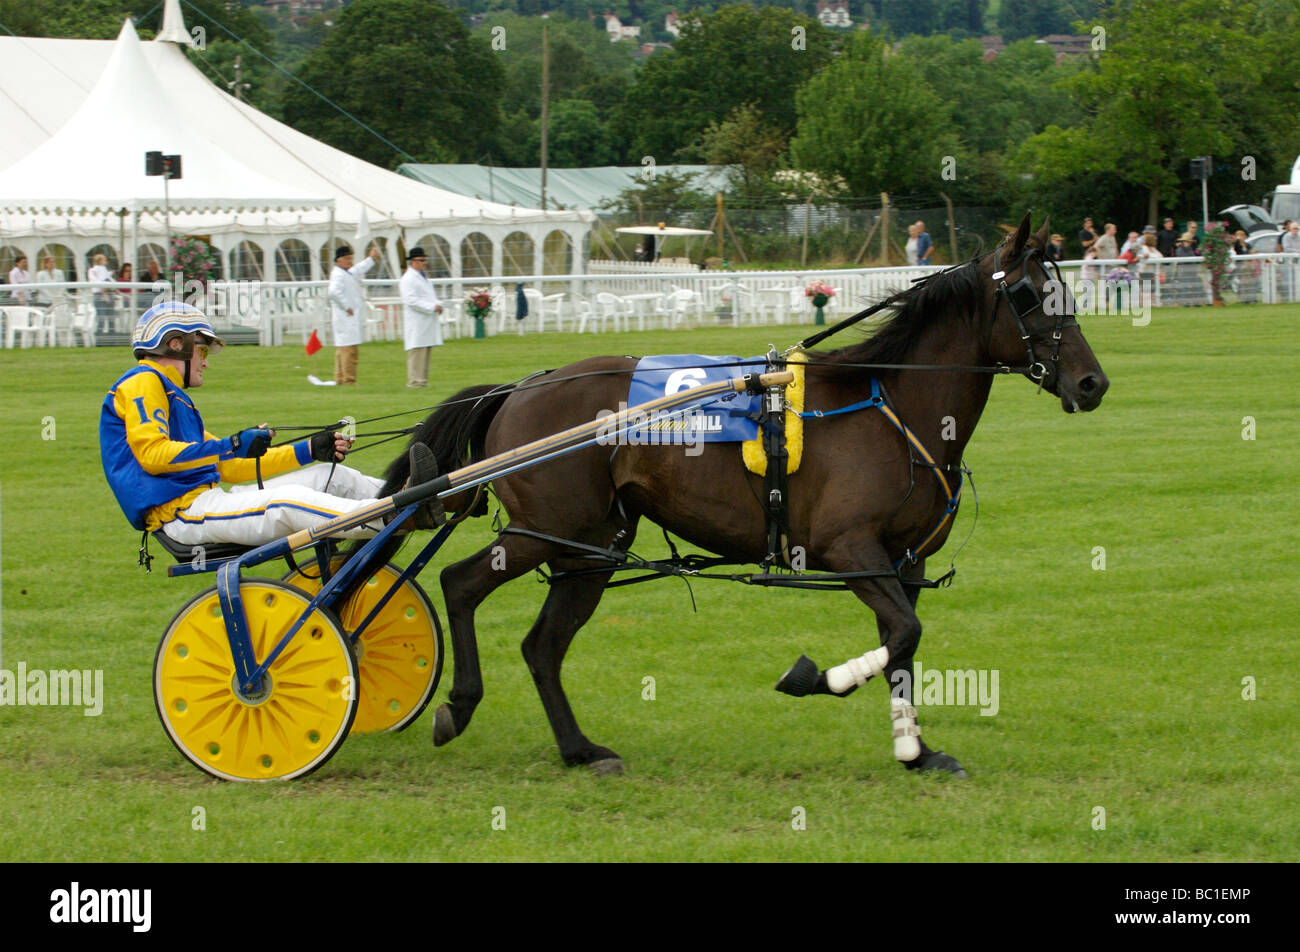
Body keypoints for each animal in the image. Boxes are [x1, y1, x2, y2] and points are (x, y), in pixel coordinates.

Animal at [377, 215, 1109, 777]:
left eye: (1066, 288)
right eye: (1027, 292)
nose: (1092, 381)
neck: (893, 407)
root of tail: (523, 386)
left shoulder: (903, 562)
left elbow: (903, 644)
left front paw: (916, 750)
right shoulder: (847, 549)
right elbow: (903, 633)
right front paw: (816, 678)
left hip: (590, 548)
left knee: (542, 646)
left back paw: (580, 748)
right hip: (540, 531)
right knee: (460, 583)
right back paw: (459, 705)